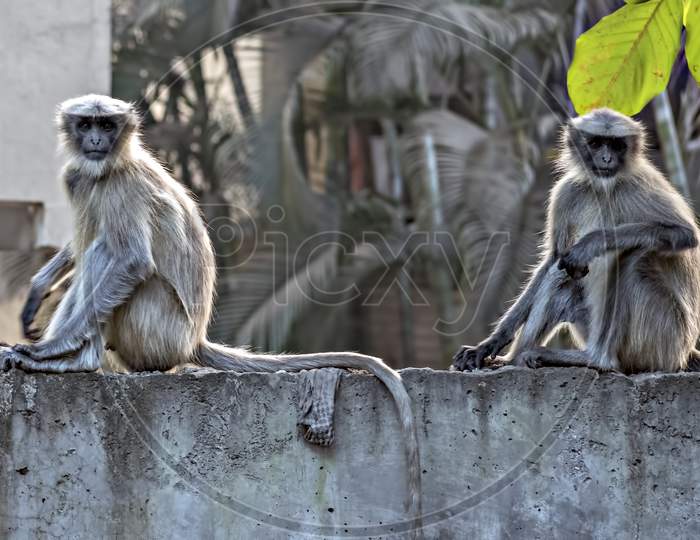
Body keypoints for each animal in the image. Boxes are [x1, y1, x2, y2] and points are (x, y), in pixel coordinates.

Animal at [0, 95, 421, 523]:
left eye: (107, 125)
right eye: (86, 124)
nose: (97, 141)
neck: (119, 160)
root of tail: (195, 340)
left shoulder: (123, 185)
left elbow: (132, 261)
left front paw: (51, 348)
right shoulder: (85, 173)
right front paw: (40, 287)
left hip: (158, 328)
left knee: (108, 248)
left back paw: (77, 359)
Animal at [452, 108, 700, 374]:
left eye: (616, 145)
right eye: (596, 143)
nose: (606, 158)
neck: (603, 188)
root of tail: (685, 352)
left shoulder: (640, 184)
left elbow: (685, 234)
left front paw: (590, 244)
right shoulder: (567, 192)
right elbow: (553, 260)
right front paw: (490, 343)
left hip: (665, 340)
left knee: (632, 257)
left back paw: (596, 359)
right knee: (560, 275)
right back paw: (513, 359)